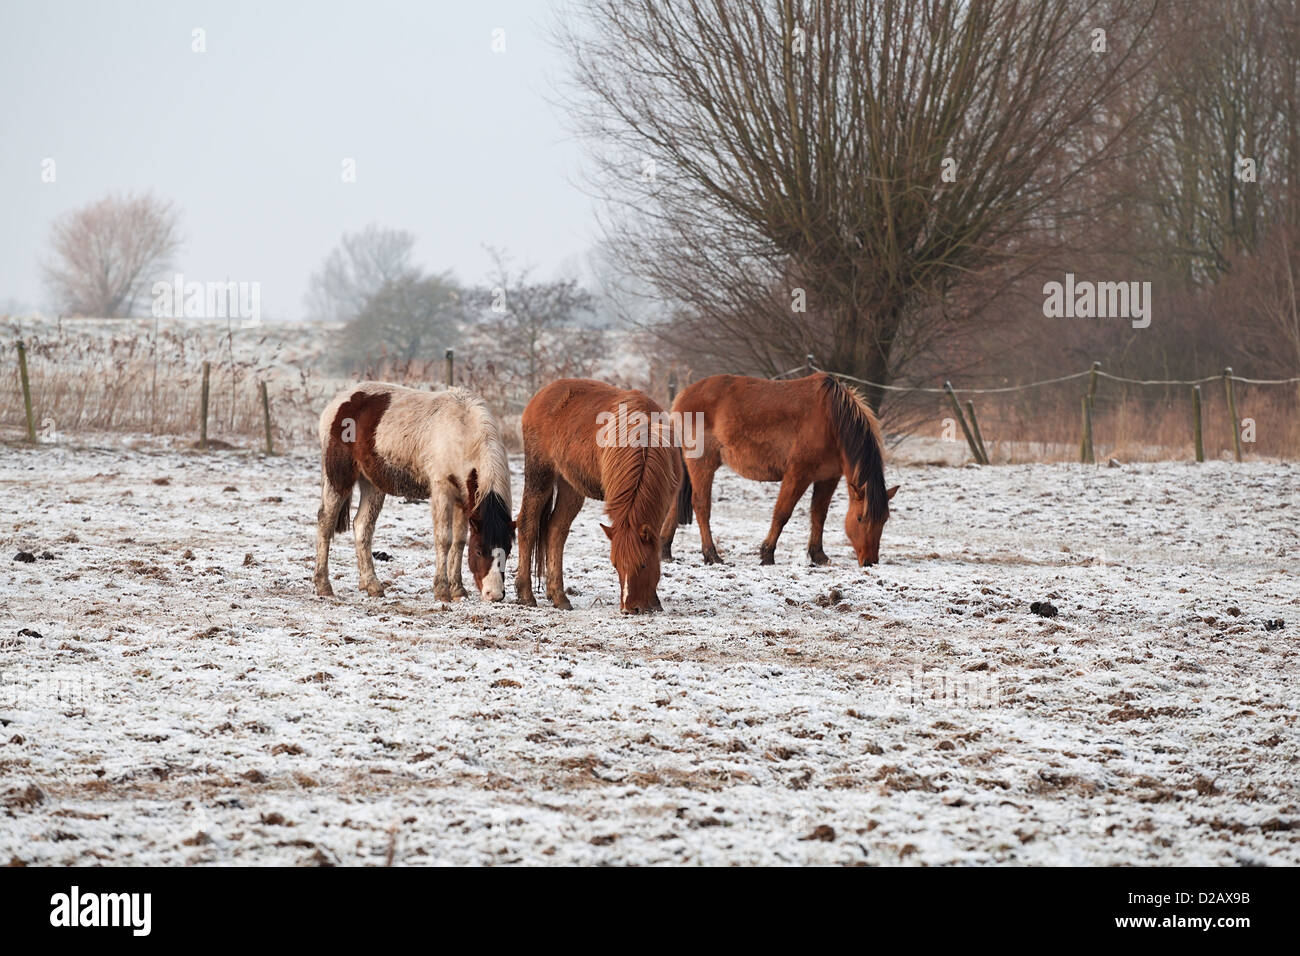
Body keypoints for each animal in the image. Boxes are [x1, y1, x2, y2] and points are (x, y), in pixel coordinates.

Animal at [313, 382, 514, 602]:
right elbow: (444, 539)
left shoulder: (463, 500)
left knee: (362, 527)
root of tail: (339, 402)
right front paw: (442, 590)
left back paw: (372, 585)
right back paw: (323, 585)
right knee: (326, 522)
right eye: (479, 551)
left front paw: (458, 590)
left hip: (372, 485)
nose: (494, 594)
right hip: (338, 479)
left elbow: (459, 542)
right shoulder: (442, 491)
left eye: (508, 550)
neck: (463, 430)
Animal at [514, 378, 682, 613]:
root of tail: (542, 395)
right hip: (540, 474)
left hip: (570, 486)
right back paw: (525, 594)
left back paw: (558, 596)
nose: (629, 608)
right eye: (615, 565)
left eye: (643, 564)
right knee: (527, 525)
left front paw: (654, 601)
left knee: (556, 530)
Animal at [661, 372, 898, 567]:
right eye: (860, 519)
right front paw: (767, 554)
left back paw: (665, 550)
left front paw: (818, 555)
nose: (869, 562)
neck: (832, 421)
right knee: (701, 506)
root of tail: (682, 395)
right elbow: (782, 513)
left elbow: (819, 514)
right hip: (702, 464)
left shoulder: (828, 478)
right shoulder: (798, 474)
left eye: (884, 519)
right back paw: (711, 555)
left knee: (675, 504)